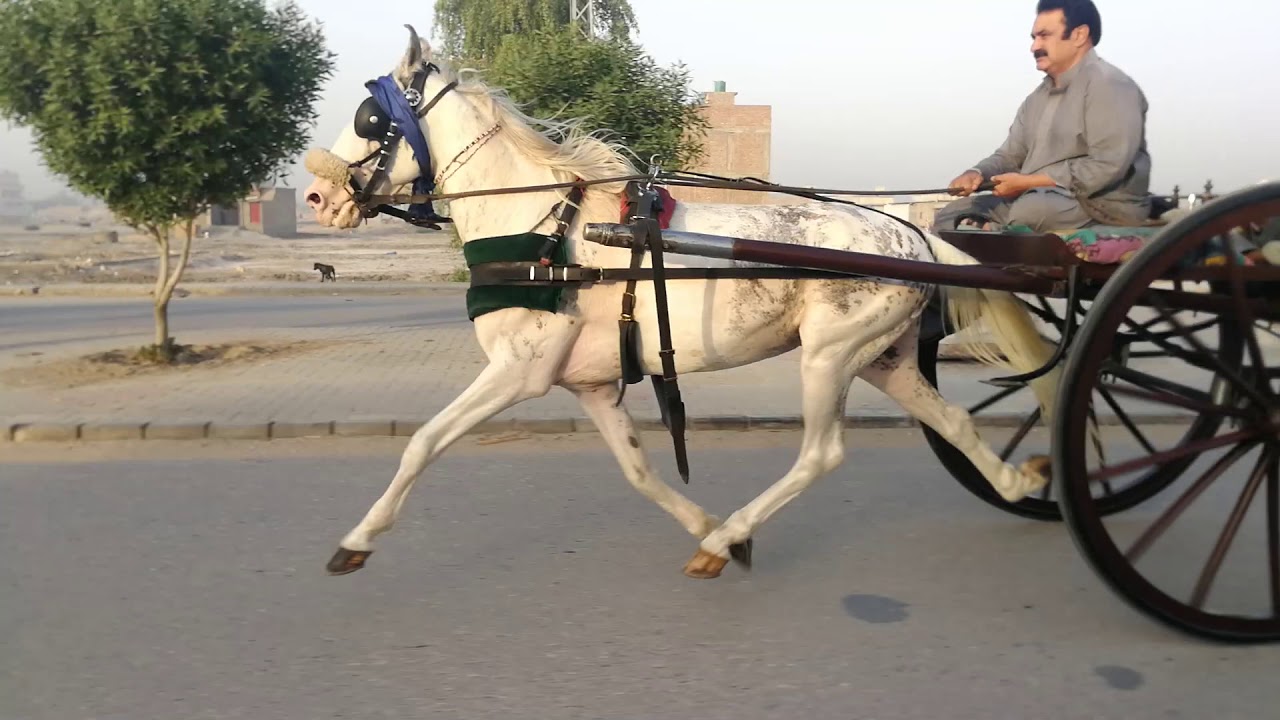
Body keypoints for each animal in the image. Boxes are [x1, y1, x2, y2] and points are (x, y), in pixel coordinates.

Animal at [301, 25, 1060, 580]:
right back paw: (1016, 481)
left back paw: (730, 539)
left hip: (830, 356)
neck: (548, 227)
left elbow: (423, 442)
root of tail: (913, 234)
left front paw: (359, 538)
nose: (316, 195)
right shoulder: (591, 384)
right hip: (884, 359)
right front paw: (700, 521)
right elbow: (638, 472)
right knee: (952, 420)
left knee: (821, 454)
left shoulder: (519, 371)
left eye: (368, 117)